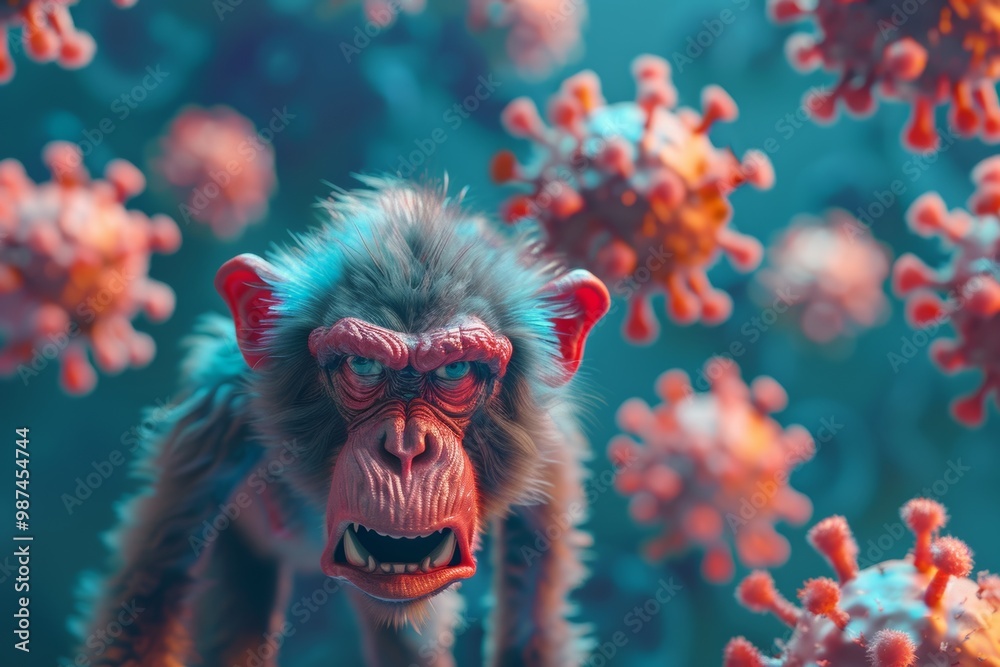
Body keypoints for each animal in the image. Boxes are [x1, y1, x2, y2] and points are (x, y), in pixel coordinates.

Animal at [70, 176, 610, 667]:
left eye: (455, 370)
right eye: (362, 365)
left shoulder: (552, 451)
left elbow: (534, 623)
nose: (406, 449)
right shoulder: (217, 413)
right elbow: (150, 594)